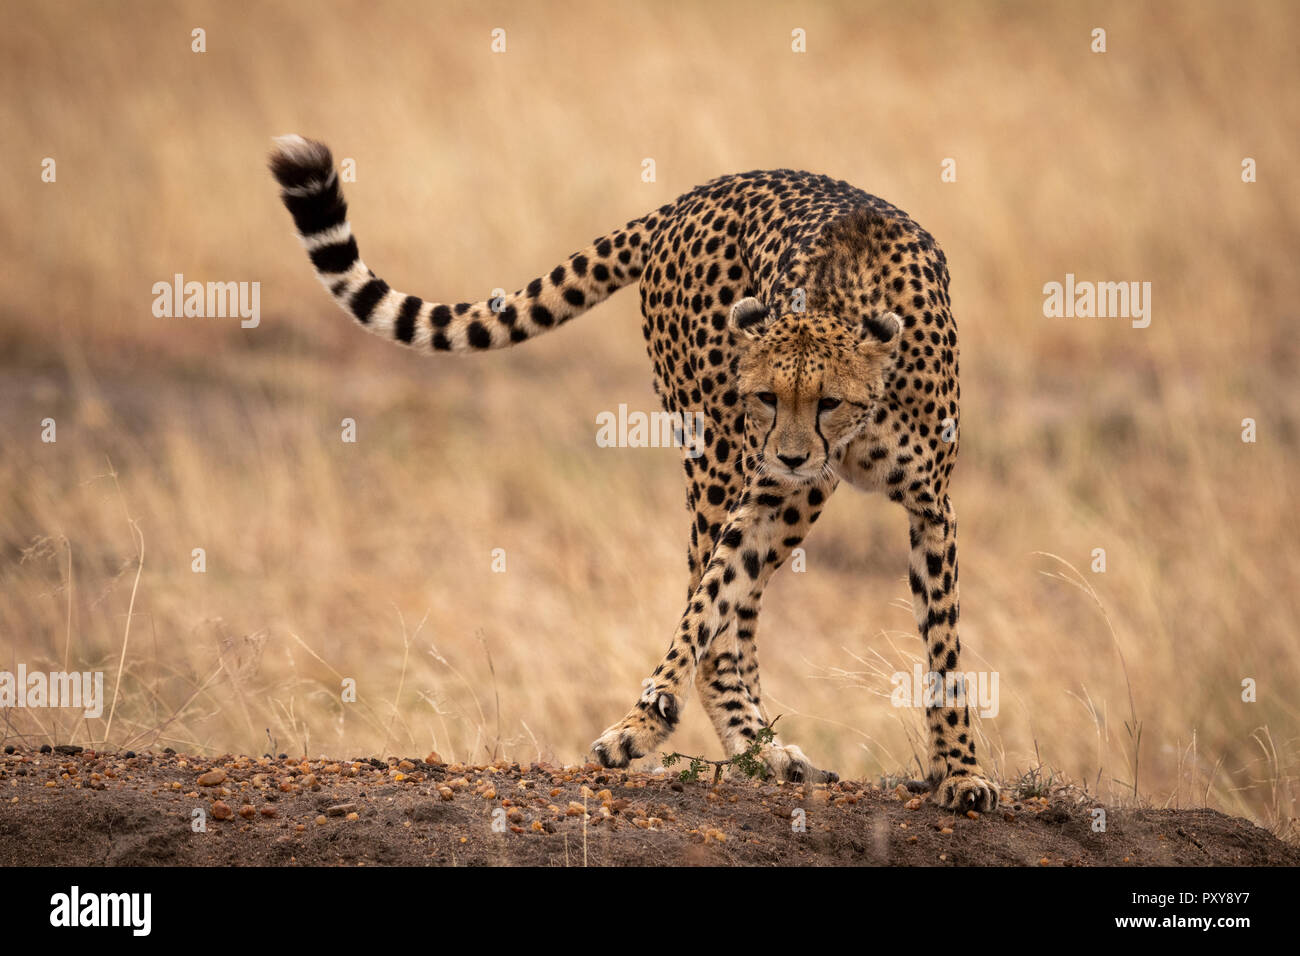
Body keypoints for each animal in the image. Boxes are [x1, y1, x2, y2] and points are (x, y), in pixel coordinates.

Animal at [269, 134, 998, 811]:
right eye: (767, 396)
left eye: (829, 401)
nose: (791, 453)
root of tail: (691, 196)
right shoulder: (767, 490)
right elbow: (705, 603)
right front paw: (639, 724)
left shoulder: (930, 505)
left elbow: (944, 646)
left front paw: (961, 771)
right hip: (723, 457)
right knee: (720, 608)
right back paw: (758, 747)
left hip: (782, 488)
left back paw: (765, 749)